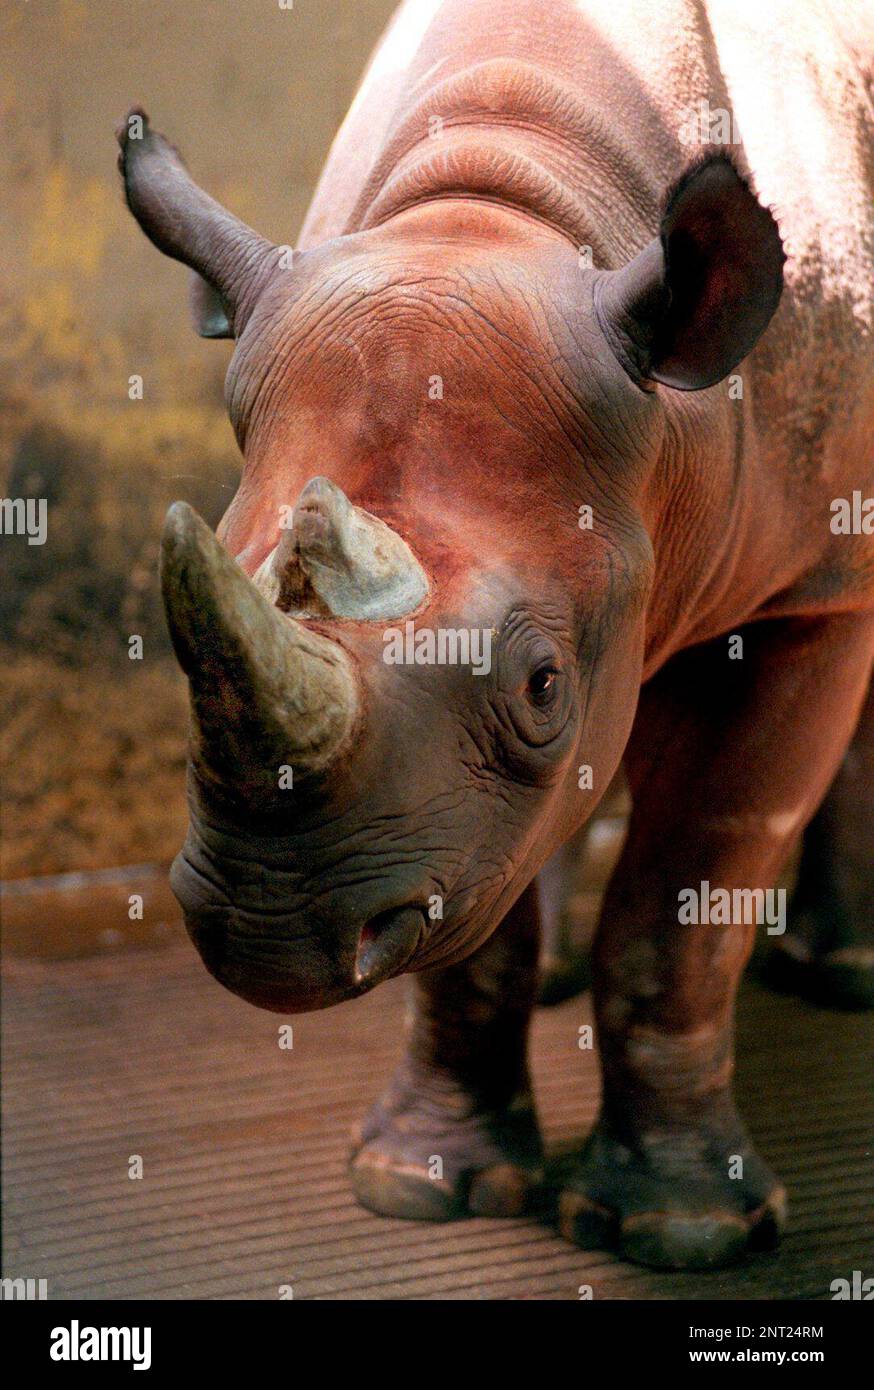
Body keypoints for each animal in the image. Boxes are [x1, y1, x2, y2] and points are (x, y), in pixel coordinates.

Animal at [118, 0, 874, 1270]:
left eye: (541, 686)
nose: (264, 932)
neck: (504, 208)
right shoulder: (438, 800)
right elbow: (473, 907)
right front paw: (425, 1184)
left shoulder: (801, 587)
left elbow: (685, 895)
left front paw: (682, 1230)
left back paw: (843, 974)